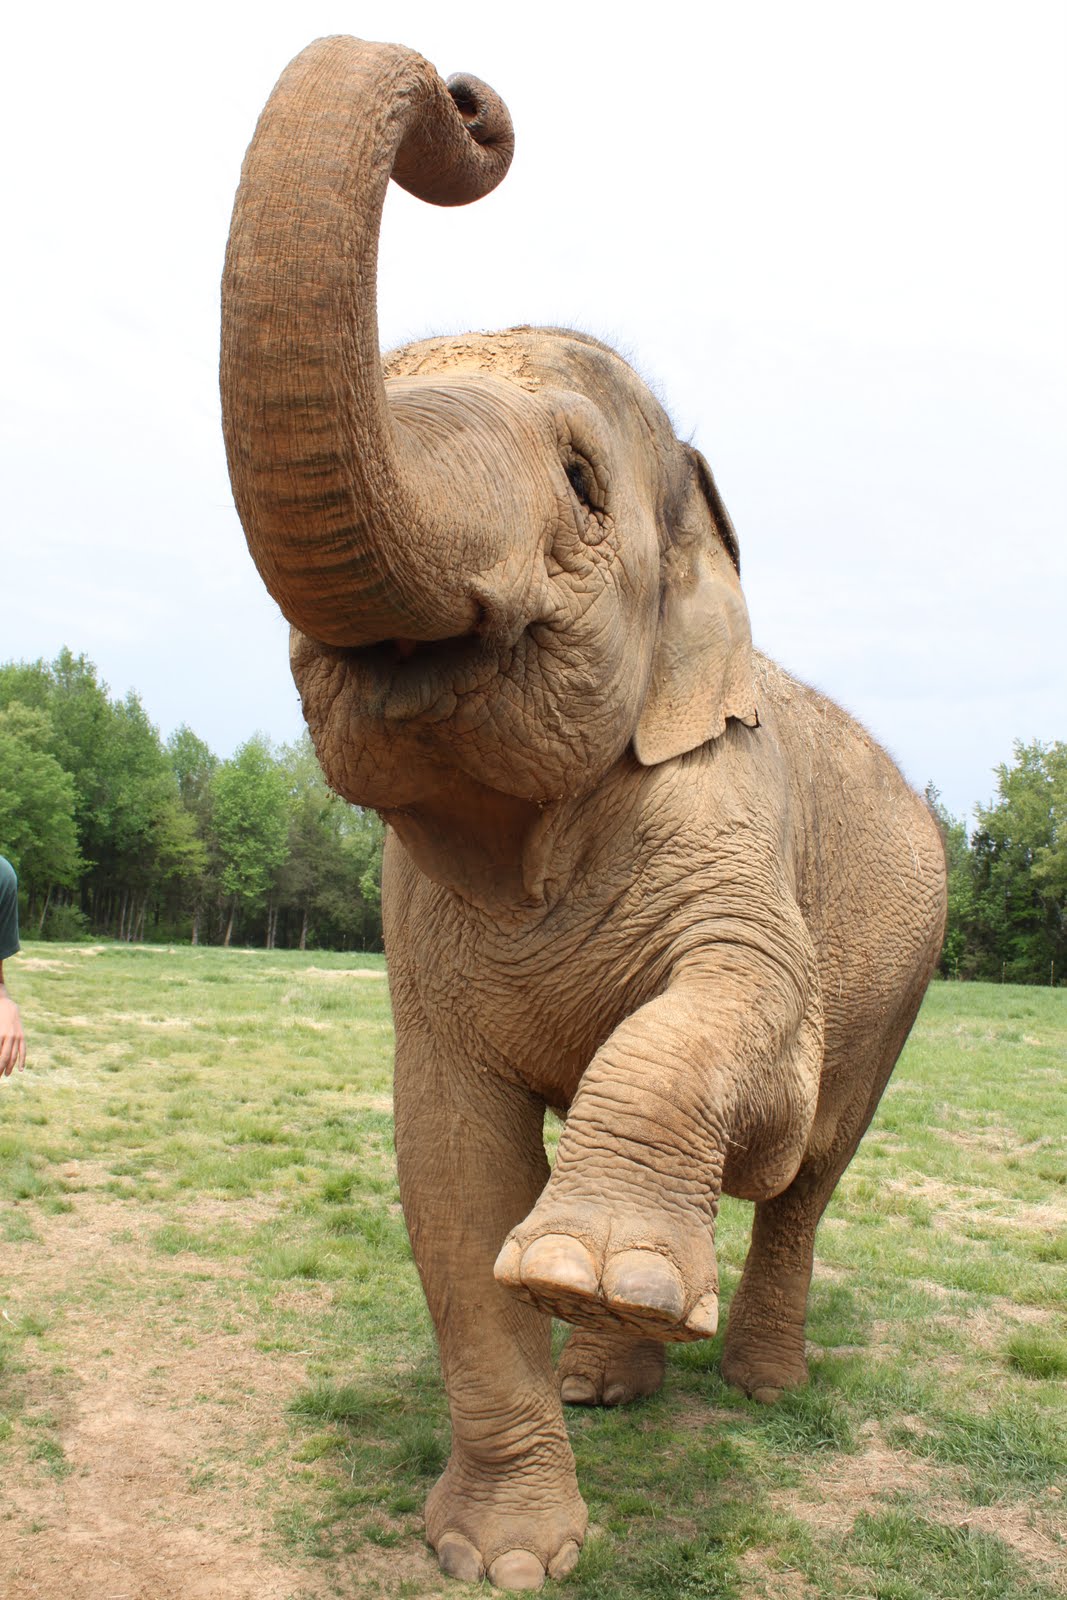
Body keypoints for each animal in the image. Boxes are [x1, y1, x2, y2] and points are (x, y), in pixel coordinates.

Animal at [221, 35, 947, 1592]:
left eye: (576, 483)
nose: (465, 105)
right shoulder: (416, 940)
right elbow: (452, 1178)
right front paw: (500, 1555)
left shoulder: (737, 825)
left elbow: (756, 1061)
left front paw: (585, 1267)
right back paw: (606, 1380)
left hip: (905, 985)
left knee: (810, 1177)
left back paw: (756, 1384)